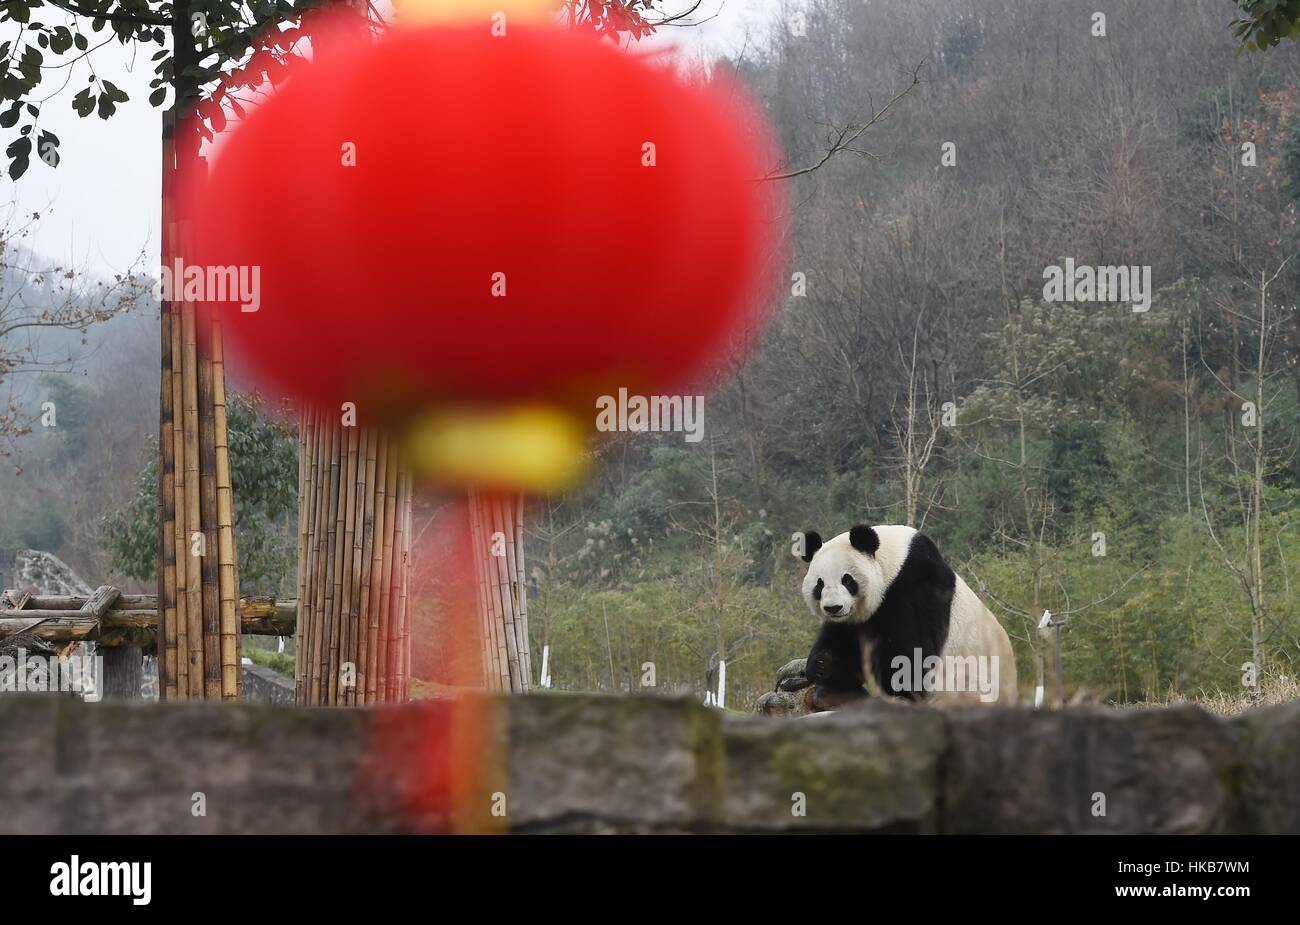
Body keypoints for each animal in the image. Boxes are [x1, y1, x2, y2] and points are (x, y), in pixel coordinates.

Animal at [797, 525, 1016, 705]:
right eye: (819, 584)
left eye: (847, 580)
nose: (833, 608)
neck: (894, 562)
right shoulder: (854, 619)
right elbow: (841, 642)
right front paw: (821, 667)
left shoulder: (914, 586)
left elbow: (909, 652)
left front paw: (898, 690)